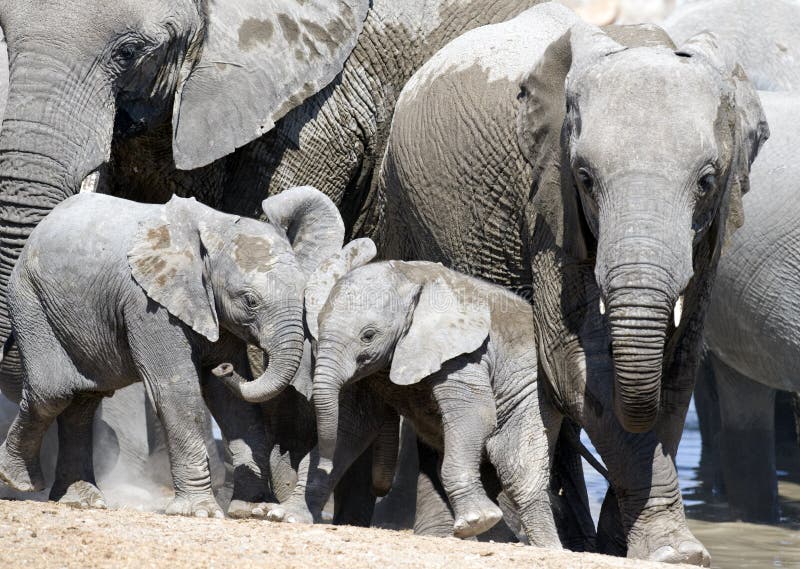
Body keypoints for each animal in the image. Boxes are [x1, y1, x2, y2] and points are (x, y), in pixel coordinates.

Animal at [0, 186, 344, 517]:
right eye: (250, 301)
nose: (224, 369)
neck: (216, 231)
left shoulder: (214, 314)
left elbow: (233, 404)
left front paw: (253, 509)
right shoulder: (149, 303)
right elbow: (176, 391)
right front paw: (201, 512)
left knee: (82, 402)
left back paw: (80, 499)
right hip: (29, 297)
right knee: (53, 392)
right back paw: (17, 479)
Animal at [376, 2, 768, 564]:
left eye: (707, 181)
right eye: (584, 178)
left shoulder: (715, 230)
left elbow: (678, 371)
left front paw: (626, 544)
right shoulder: (547, 200)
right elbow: (575, 360)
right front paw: (674, 553)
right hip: (406, 207)